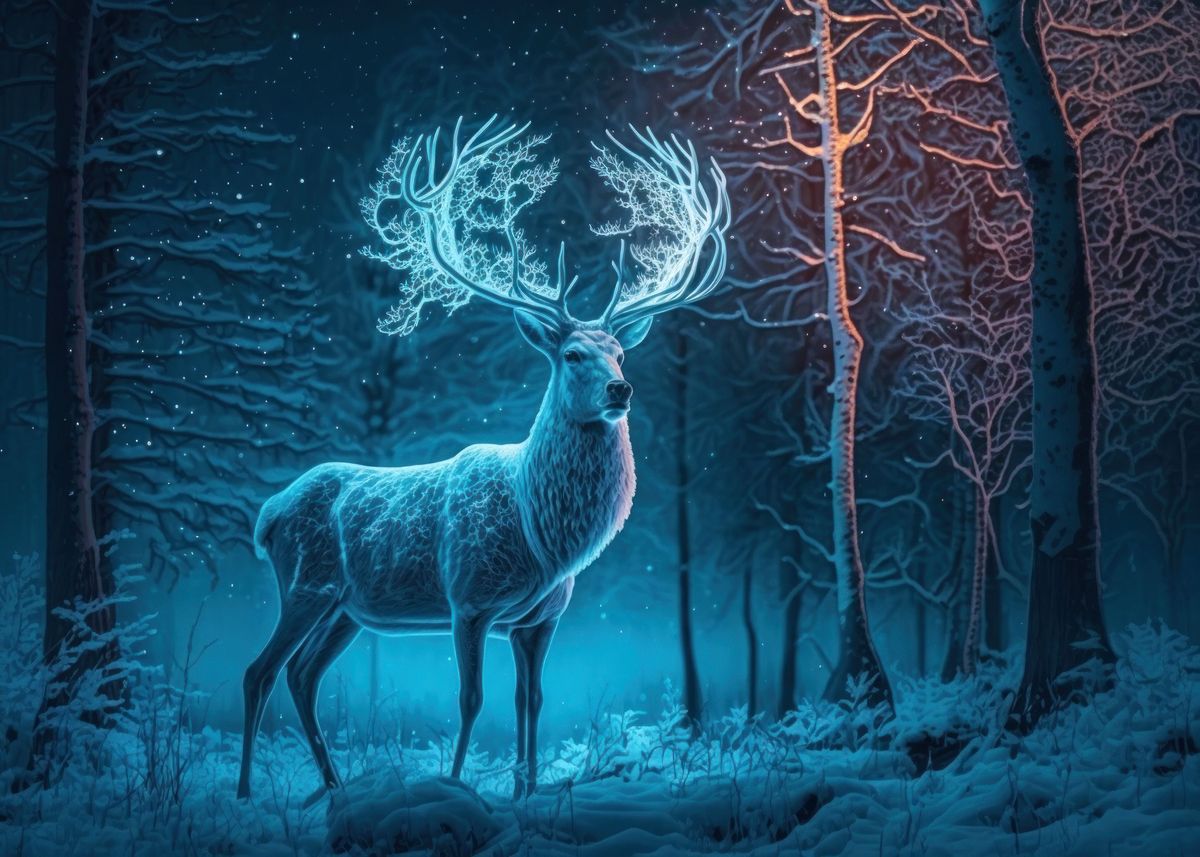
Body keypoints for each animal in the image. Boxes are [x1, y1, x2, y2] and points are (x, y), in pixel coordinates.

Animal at [237, 116, 729, 802]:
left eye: (620, 353)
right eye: (572, 354)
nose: (620, 390)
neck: (543, 534)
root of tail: (269, 513)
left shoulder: (539, 619)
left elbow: (532, 701)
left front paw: (526, 790)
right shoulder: (467, 598)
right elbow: (470, 700)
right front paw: (455, 784)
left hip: (345, 608)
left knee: (302, 676)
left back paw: (334, 787)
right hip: (306, 583)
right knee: (259, 671)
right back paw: (245, 792)